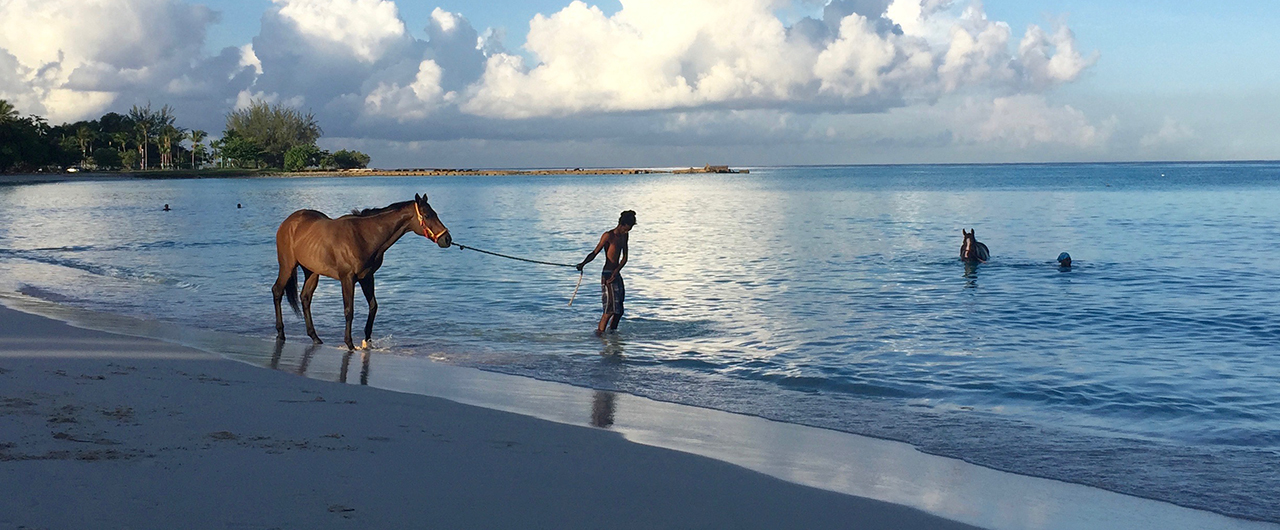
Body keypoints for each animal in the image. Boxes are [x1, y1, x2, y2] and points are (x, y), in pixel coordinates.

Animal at [272, 193, 451, 350]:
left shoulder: (367, 277)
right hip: (287, 266)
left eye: (434, 213)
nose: (447, 239)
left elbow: (373, 306)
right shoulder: (347, 278)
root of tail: (288, 222)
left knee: (305, 298)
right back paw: (281, 333)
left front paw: (367, 341)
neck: (363, 236)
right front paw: (349, 343)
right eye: (427, 215)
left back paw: (315, 337)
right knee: (277, 291)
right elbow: (349, 311)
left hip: (311, 271)